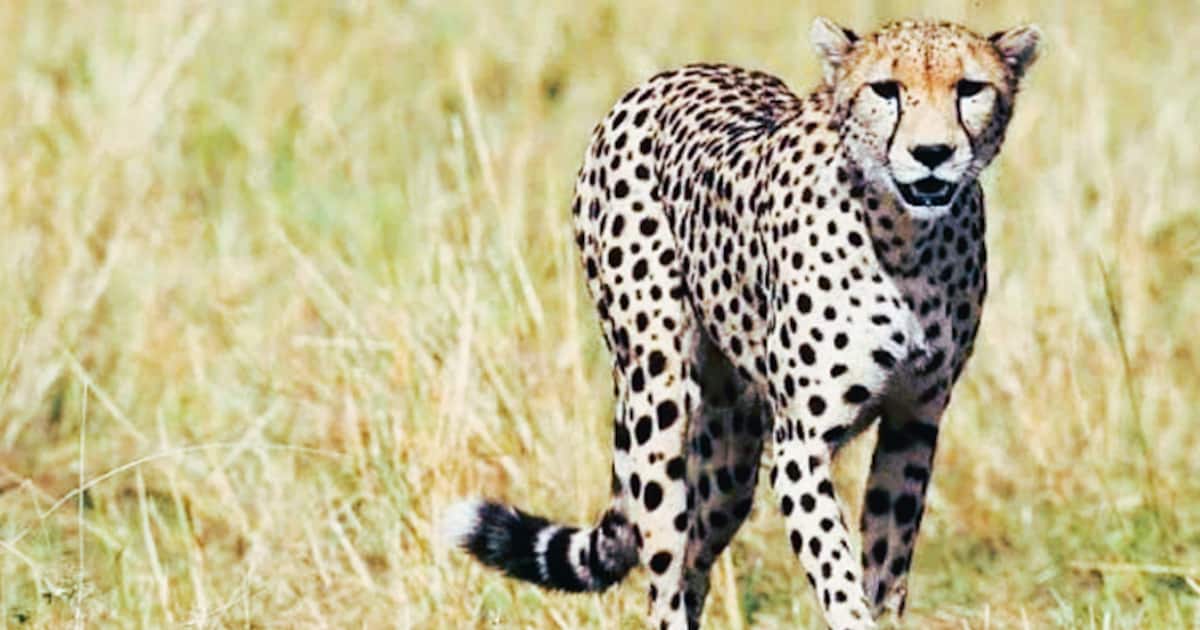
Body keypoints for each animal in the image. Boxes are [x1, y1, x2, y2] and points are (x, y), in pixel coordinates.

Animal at [445, 17, 1040, 630]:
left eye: (969, 89)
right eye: (886, 90)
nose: (932, 153)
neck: (906, 240)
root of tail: (669, 76)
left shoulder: (914, 424)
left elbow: (885, 567)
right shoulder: (802, 445)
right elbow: (839, 577)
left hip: (731, 451)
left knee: (694, 560)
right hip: (658, 397)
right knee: (664, 572)